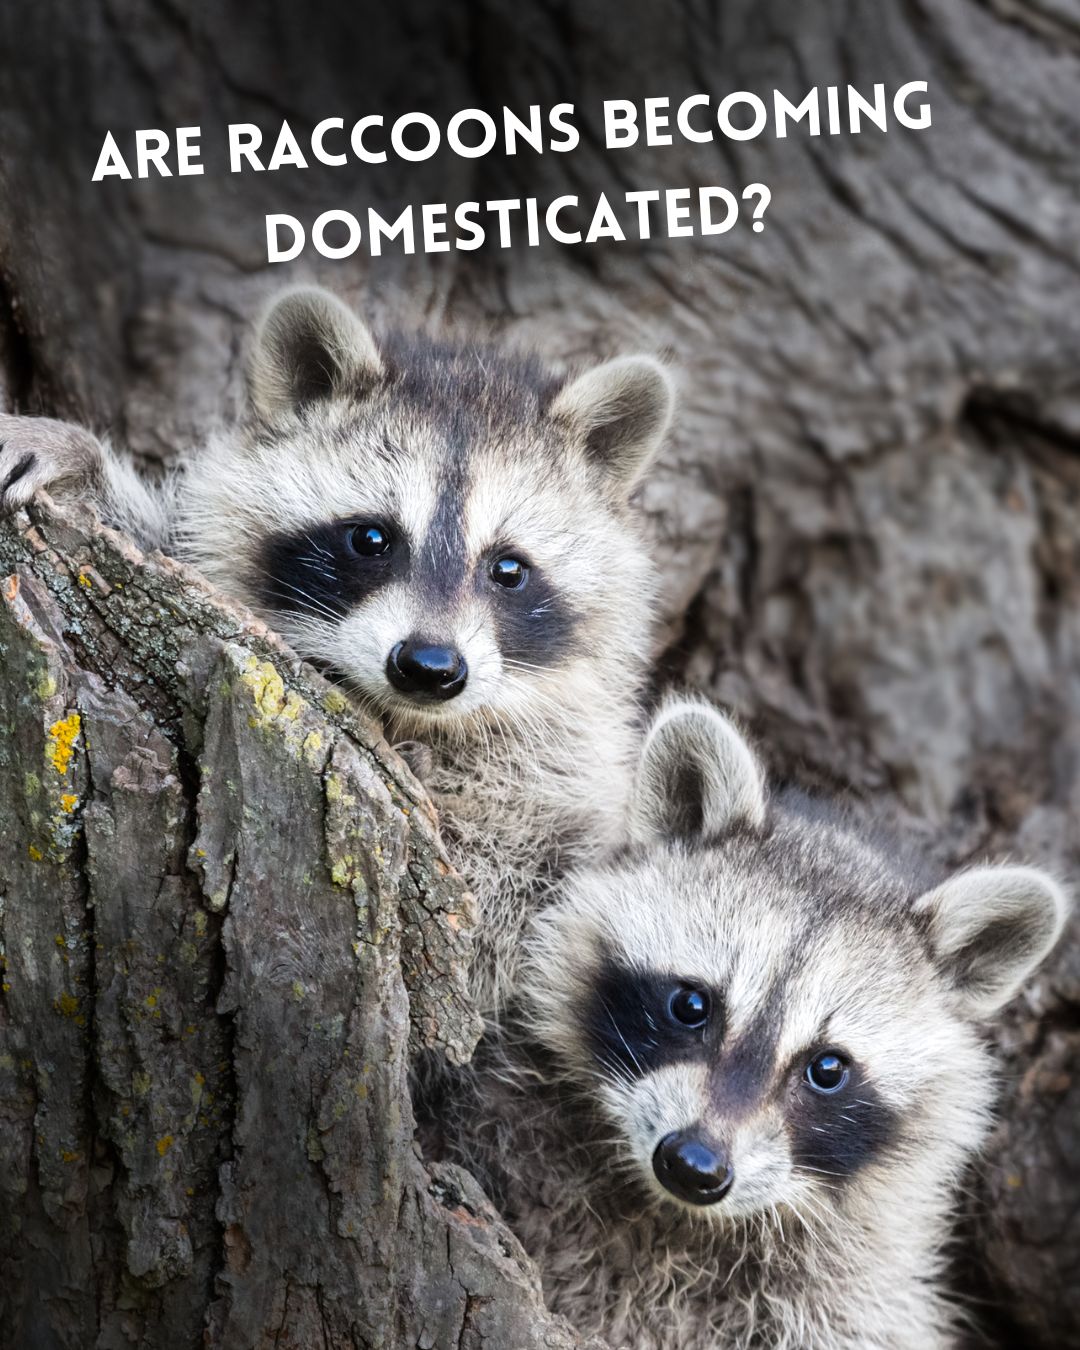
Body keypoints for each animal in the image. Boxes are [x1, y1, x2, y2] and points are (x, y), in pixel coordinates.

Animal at [0, 288, 674, 1010]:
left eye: (509, 570)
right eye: (371, 538)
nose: (430, 668)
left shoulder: (560, 795)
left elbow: (506, 883)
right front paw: (77, 457)